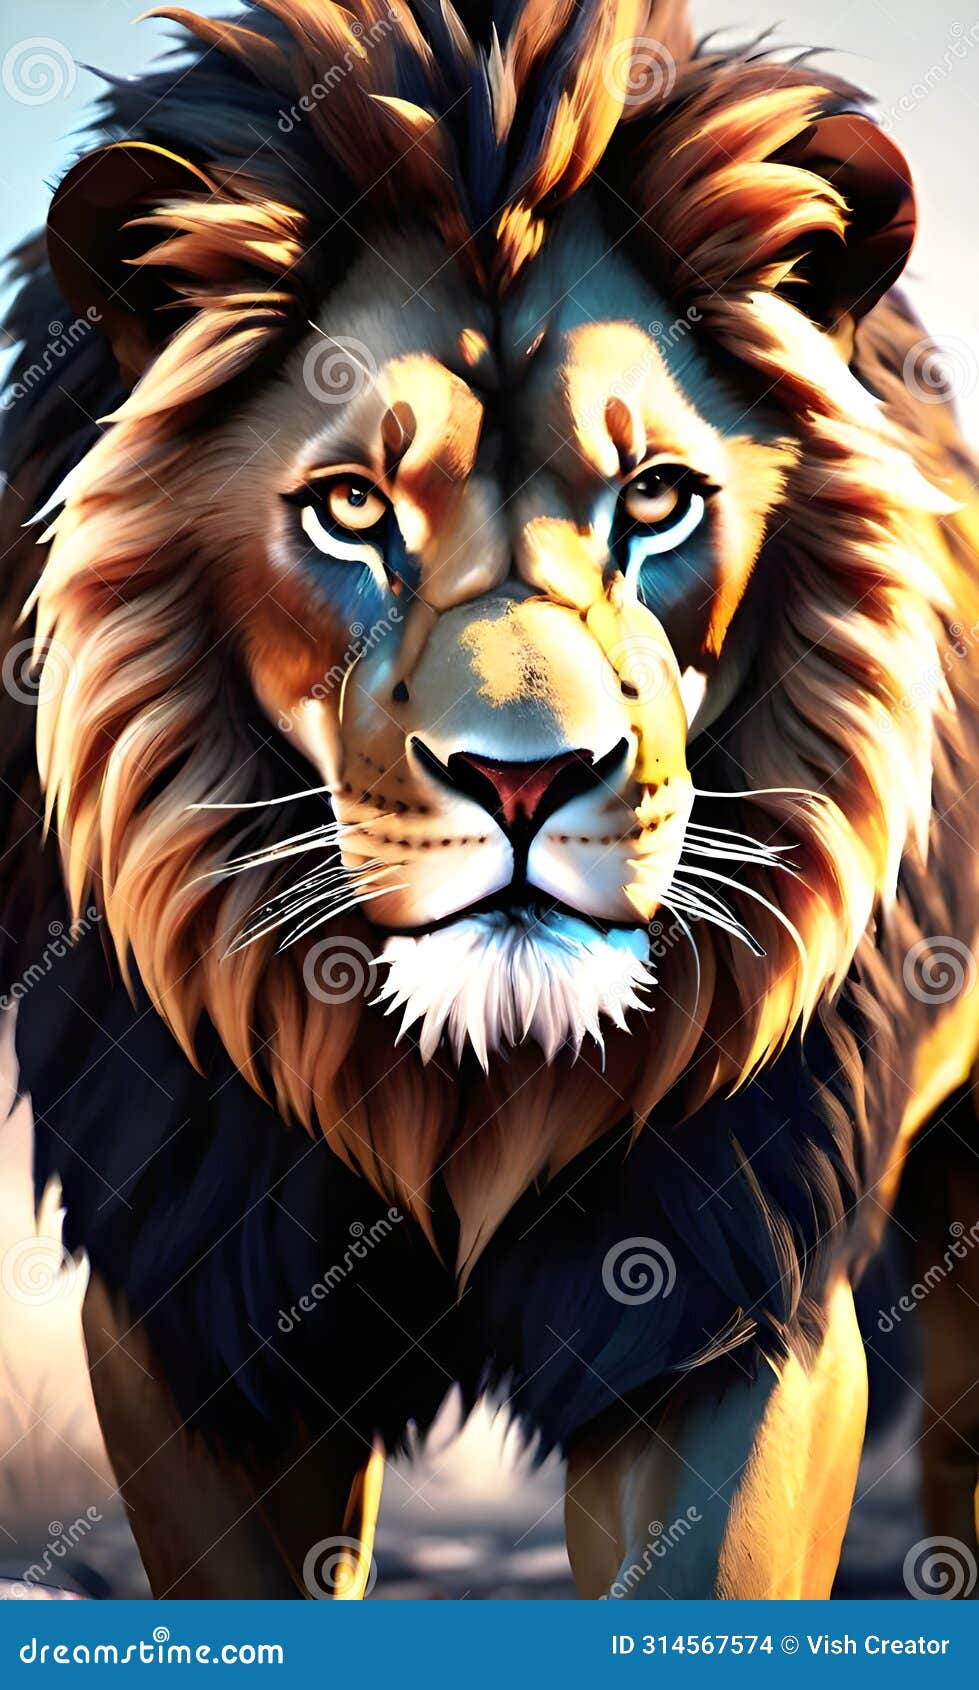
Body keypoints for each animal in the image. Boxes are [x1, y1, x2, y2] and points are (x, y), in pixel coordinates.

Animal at [2, 0, 979, 1599]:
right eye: (350, 507)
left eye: (655, 499)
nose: (523, 776)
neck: (458, 1086)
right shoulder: (193, 1294)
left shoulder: (720, 1287)